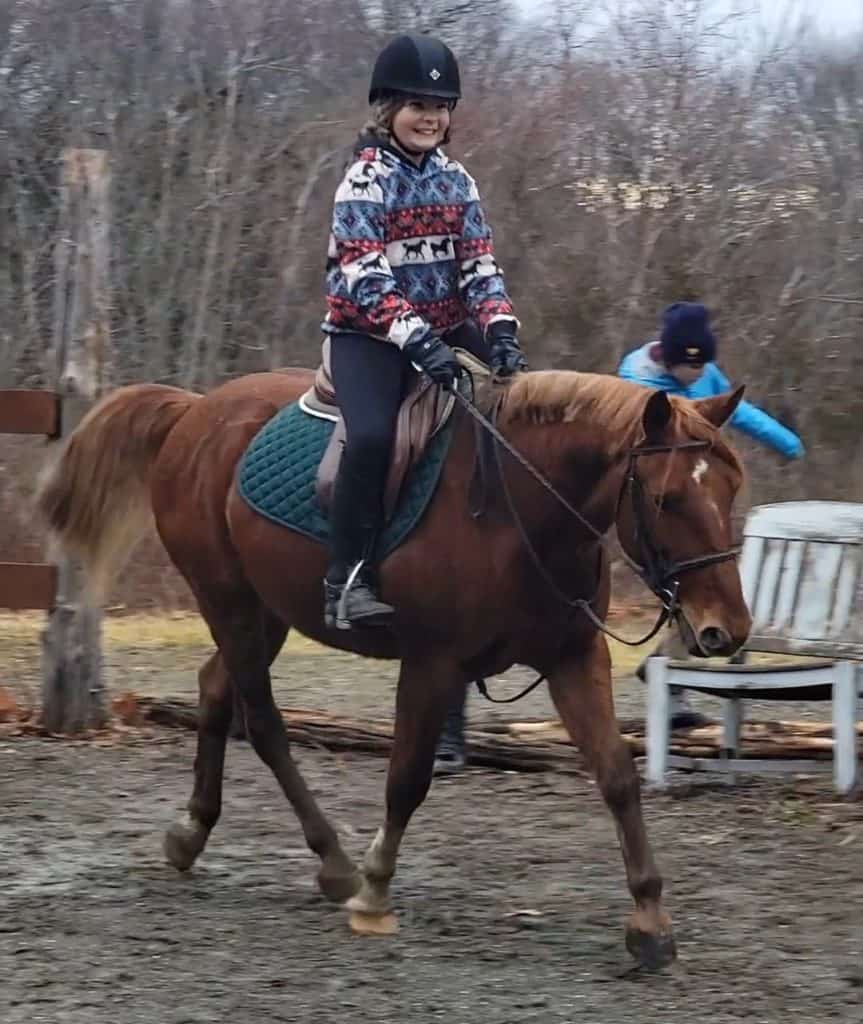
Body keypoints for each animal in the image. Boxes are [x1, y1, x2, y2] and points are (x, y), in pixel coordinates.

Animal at [36, 367, 751, 968]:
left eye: (731, 489)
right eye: (666, 499)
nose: (726, 629)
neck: (518, 510)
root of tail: (195, 411)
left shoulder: (573, 658)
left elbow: (617, 776)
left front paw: (650, 920)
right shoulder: (433, 663)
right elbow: (406, 779)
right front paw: (375, 891)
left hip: (267, 612)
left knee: (216, 690)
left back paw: (192, 832)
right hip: (229, 602)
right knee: (263, 722)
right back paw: (334, 863)